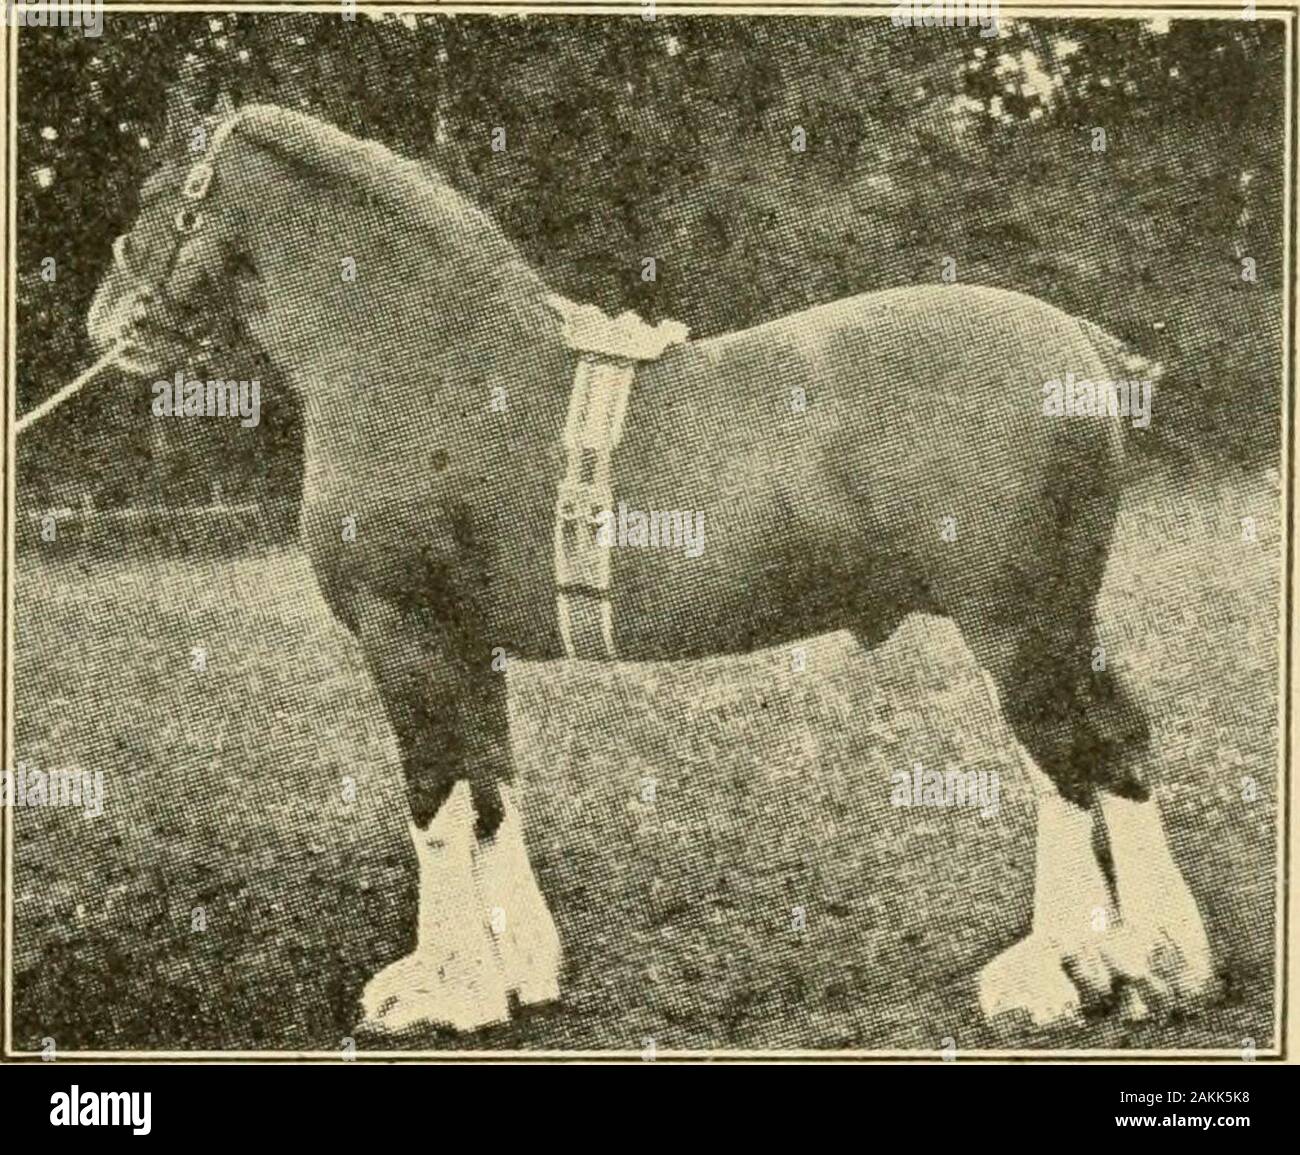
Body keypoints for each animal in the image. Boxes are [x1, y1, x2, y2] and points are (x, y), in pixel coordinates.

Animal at [85, 94, 1214, 1039]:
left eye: (154, 195)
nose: (103, 315)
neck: (427, 359)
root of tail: (1082, 343)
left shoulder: (405, 631)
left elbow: (435, 804)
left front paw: (443, 989)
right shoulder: (466, 643)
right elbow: (491, 790)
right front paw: (518, 975)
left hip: (1019, 624)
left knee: (1078, 759)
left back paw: (1085, 973)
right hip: (1044, 625)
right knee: (1095, 753)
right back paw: (1131, 967)